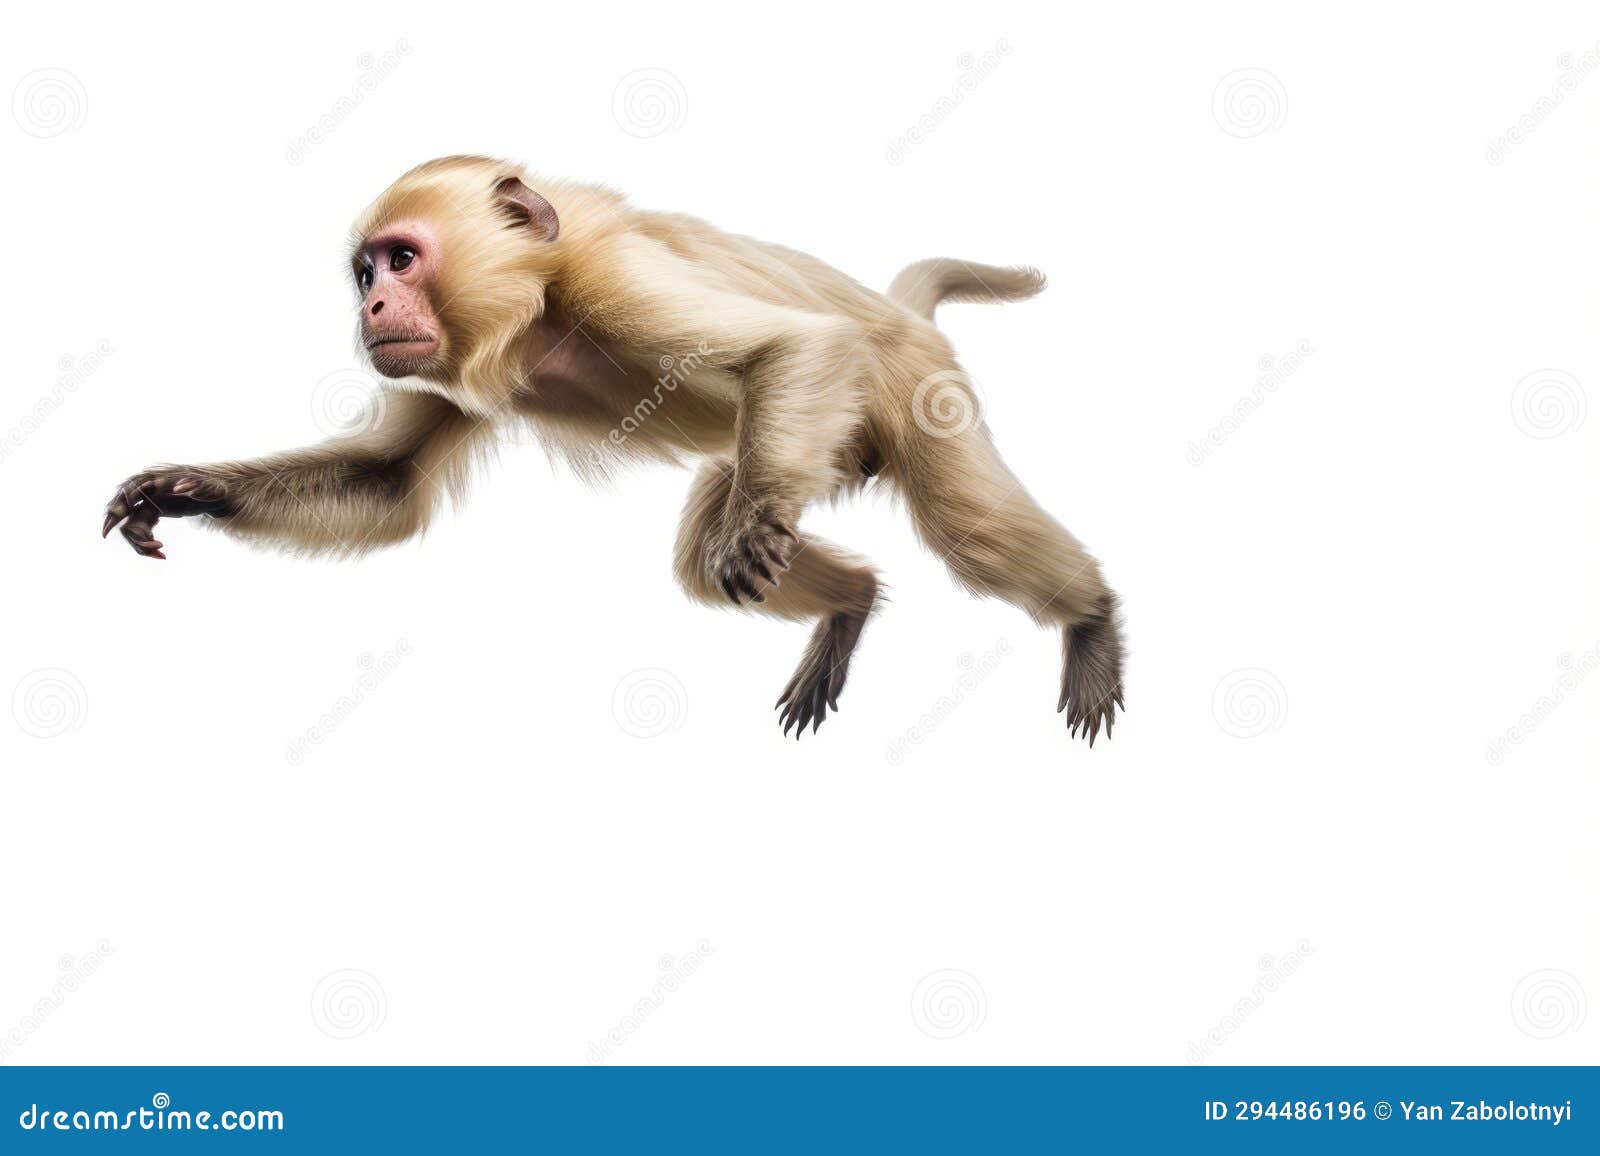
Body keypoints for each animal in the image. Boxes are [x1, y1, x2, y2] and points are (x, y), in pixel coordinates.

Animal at [103, 156, 1125, 743]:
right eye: (365, 273)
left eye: (401, 260)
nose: (371, 307)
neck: (540, 308)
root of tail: (901, 318)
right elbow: (386, 482)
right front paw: (182, 490)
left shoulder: (611, 279)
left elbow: (794, 347)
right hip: (818, 444)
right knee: (707, 556)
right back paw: (851, 605)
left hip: (910, 389)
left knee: (963, 524)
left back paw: (1090, 623)